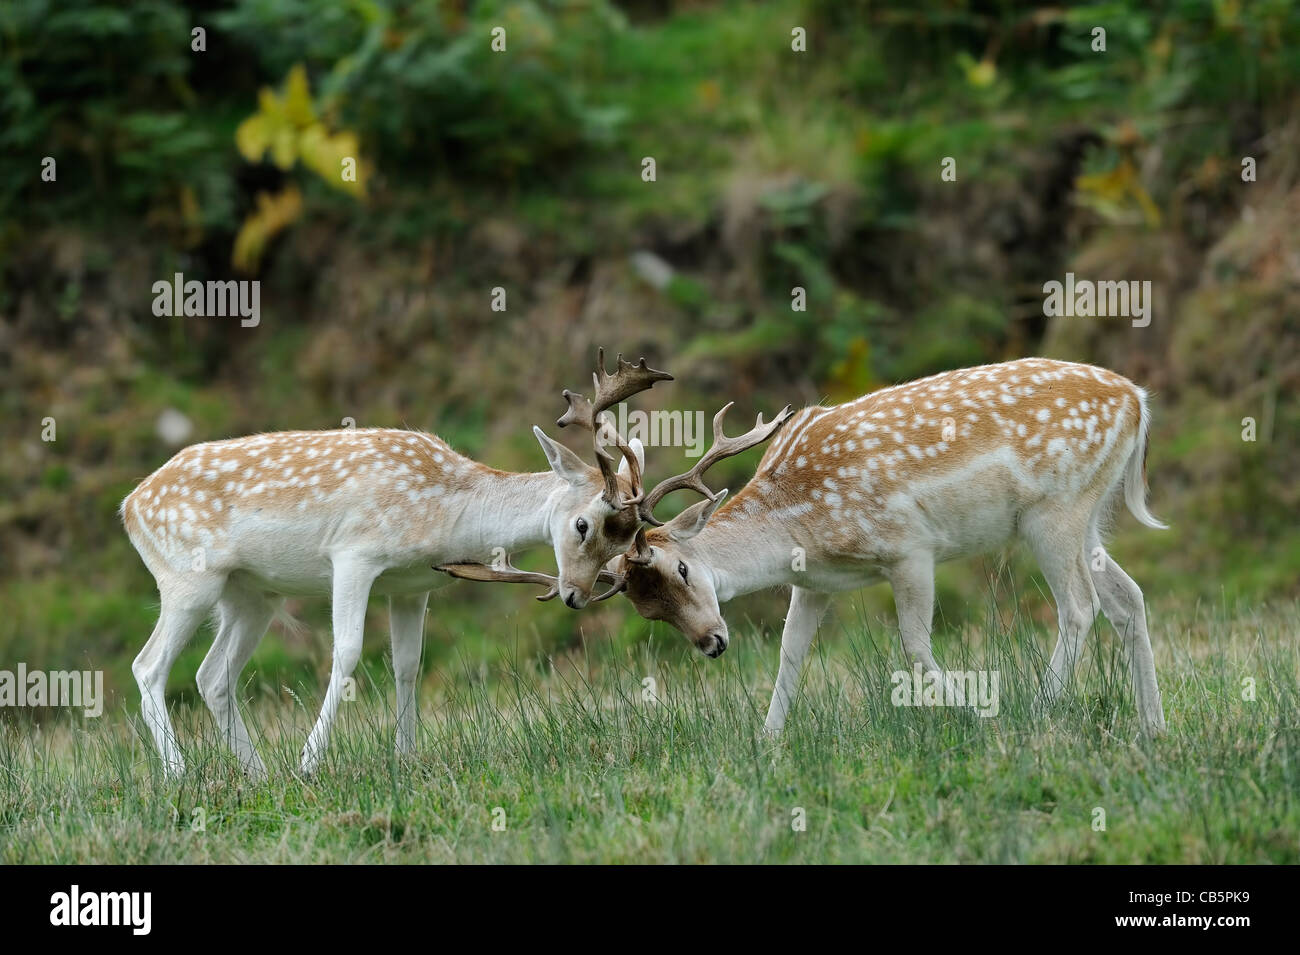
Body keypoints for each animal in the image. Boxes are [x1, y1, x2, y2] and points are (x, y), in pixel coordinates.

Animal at [121, 350, 670, 778]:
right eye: (583, 525)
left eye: (624, 543)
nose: (575, 596)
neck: (447, 512)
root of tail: (129, 506)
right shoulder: (353, 554)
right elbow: (347, 652)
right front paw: (309, 762)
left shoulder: (411, 586)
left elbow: (407, 664)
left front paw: (405, 757)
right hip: (187, 577)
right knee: (148, 666)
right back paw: (179, 773)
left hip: (251, 594)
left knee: (212, 676)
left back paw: (256, 774)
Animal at [450, 358, 1169, 739]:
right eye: (648, 608)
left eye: (682, 566)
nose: (713, 641)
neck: (800, 527)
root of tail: (1139, 400)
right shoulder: (815, 583)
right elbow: (790, 653)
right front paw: (768, 741)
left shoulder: (908, 547)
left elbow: (914, 646)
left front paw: (977, 715)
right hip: (1088, 517)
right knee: (1129, 599)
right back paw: (1153, 726)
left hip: (1054, 511)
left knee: (1079, 606)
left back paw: (1042, 710)